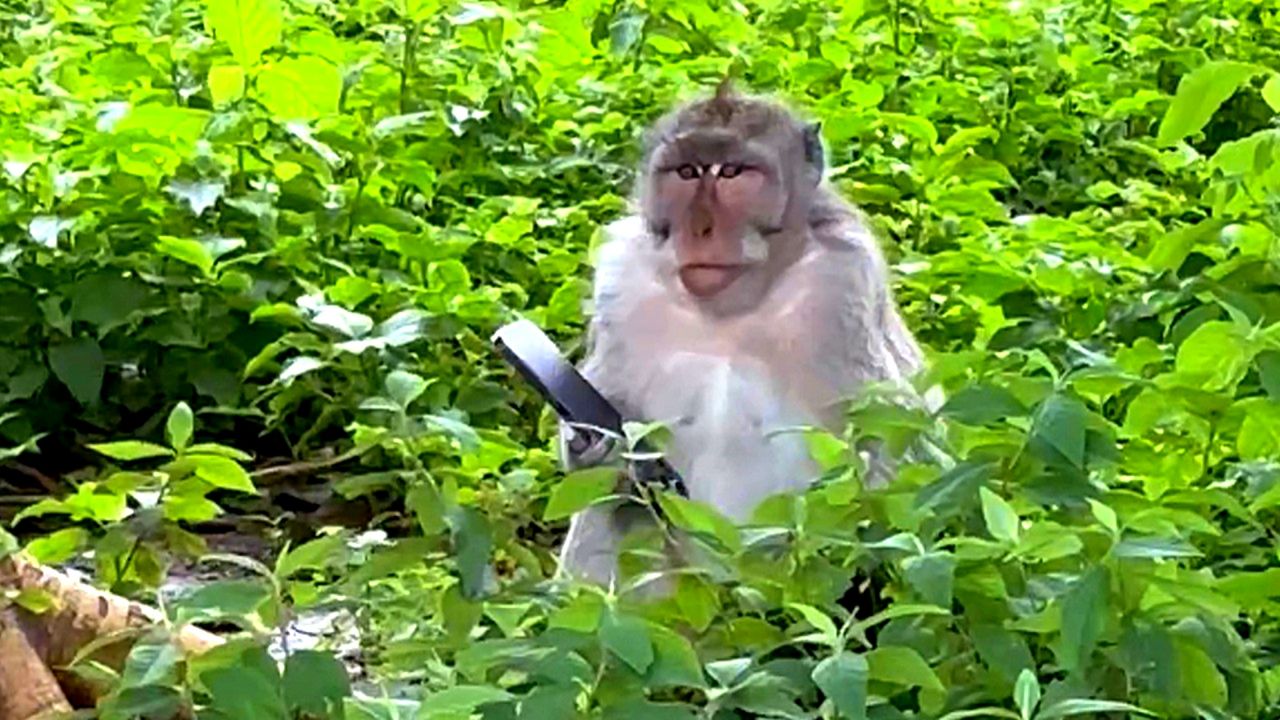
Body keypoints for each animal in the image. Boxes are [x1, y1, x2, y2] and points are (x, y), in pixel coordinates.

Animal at [555, 81, 932, 589]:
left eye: (733, 172)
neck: (729, 312)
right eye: (687, 172)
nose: (700, 227)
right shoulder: (619, 277)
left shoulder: (844, 283)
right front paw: (591, 443)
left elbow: (896, 446)